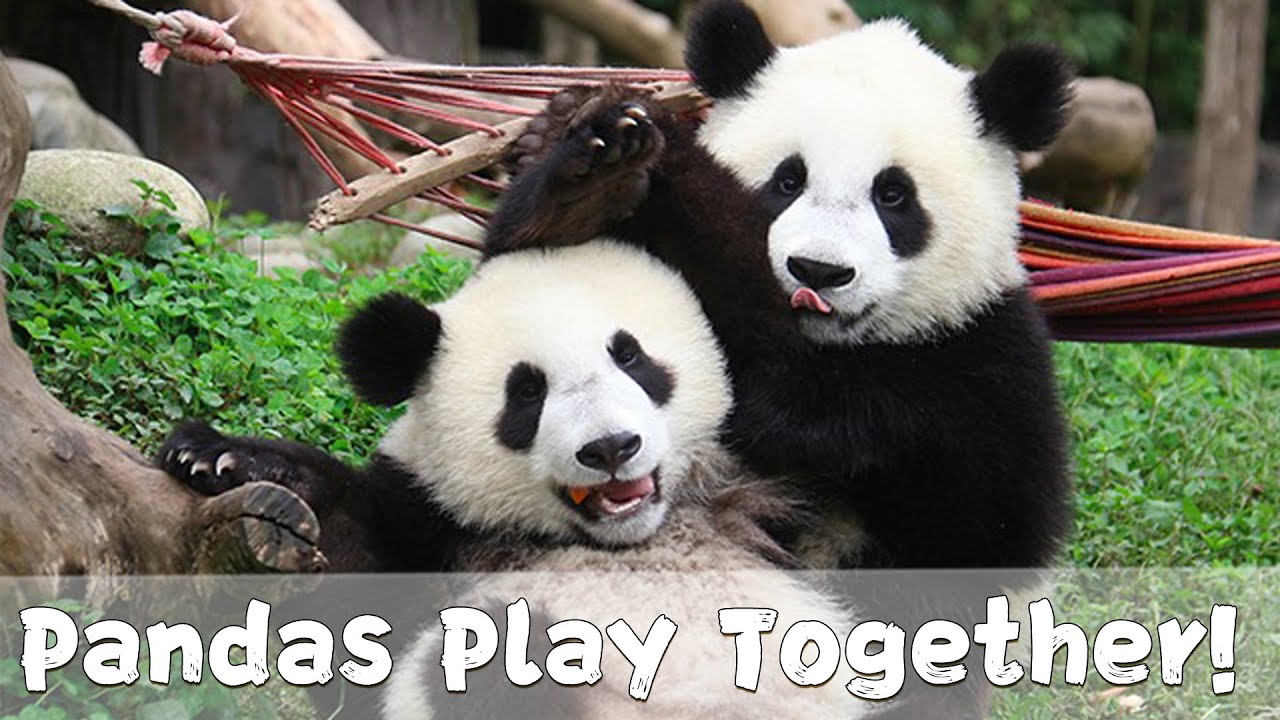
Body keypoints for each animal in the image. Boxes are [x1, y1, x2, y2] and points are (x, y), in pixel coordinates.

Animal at [484, 0, 1074, 573]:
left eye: (893, 196)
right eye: (788, 181)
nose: (818, 270)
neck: (836, 351)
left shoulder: (994, 358)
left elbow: (980, 506)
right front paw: (589, 177)